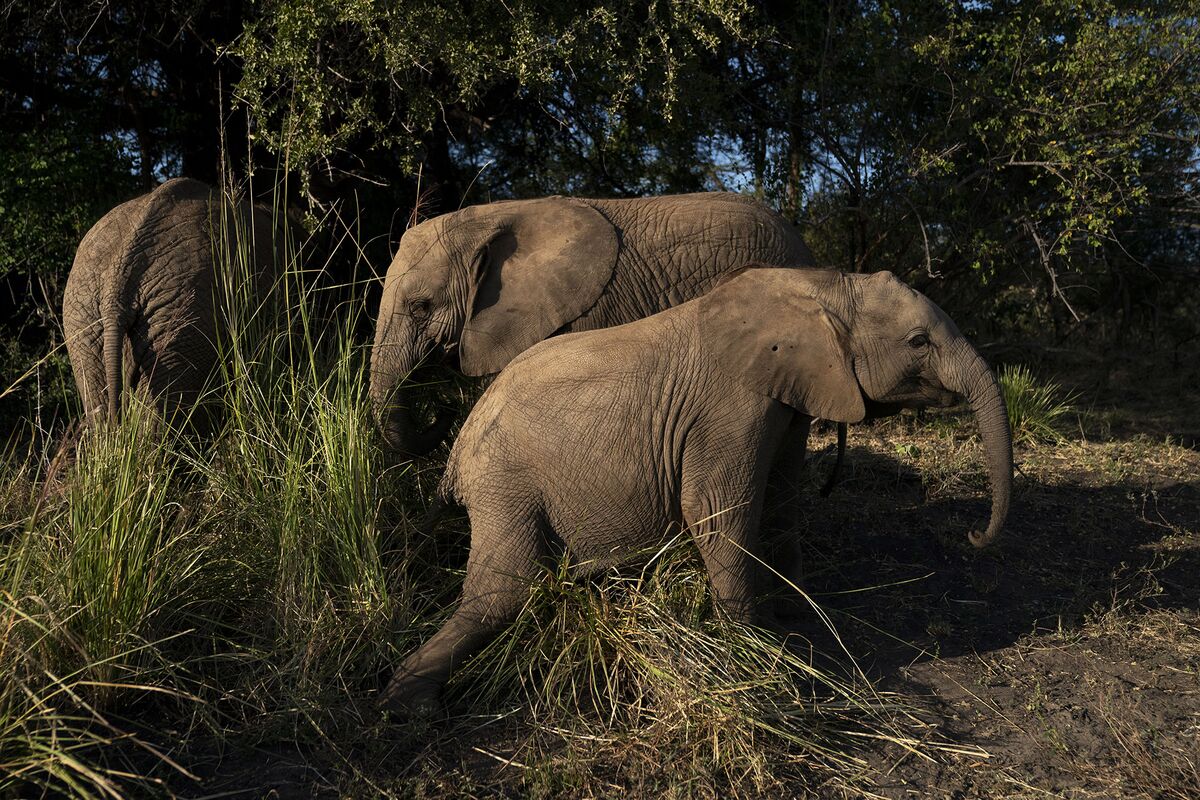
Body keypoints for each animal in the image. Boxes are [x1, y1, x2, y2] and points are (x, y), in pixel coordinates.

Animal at [379, 266, 1013, 715]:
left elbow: (781, 501)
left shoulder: (787, 399)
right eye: (918, 342)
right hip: (505, 480)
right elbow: (717, 512)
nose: (975, 536)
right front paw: (761, 659)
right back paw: (409, 705)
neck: (826, 288)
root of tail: (457, 453)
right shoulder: (732, 405)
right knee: (504, 593)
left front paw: (796, 621)